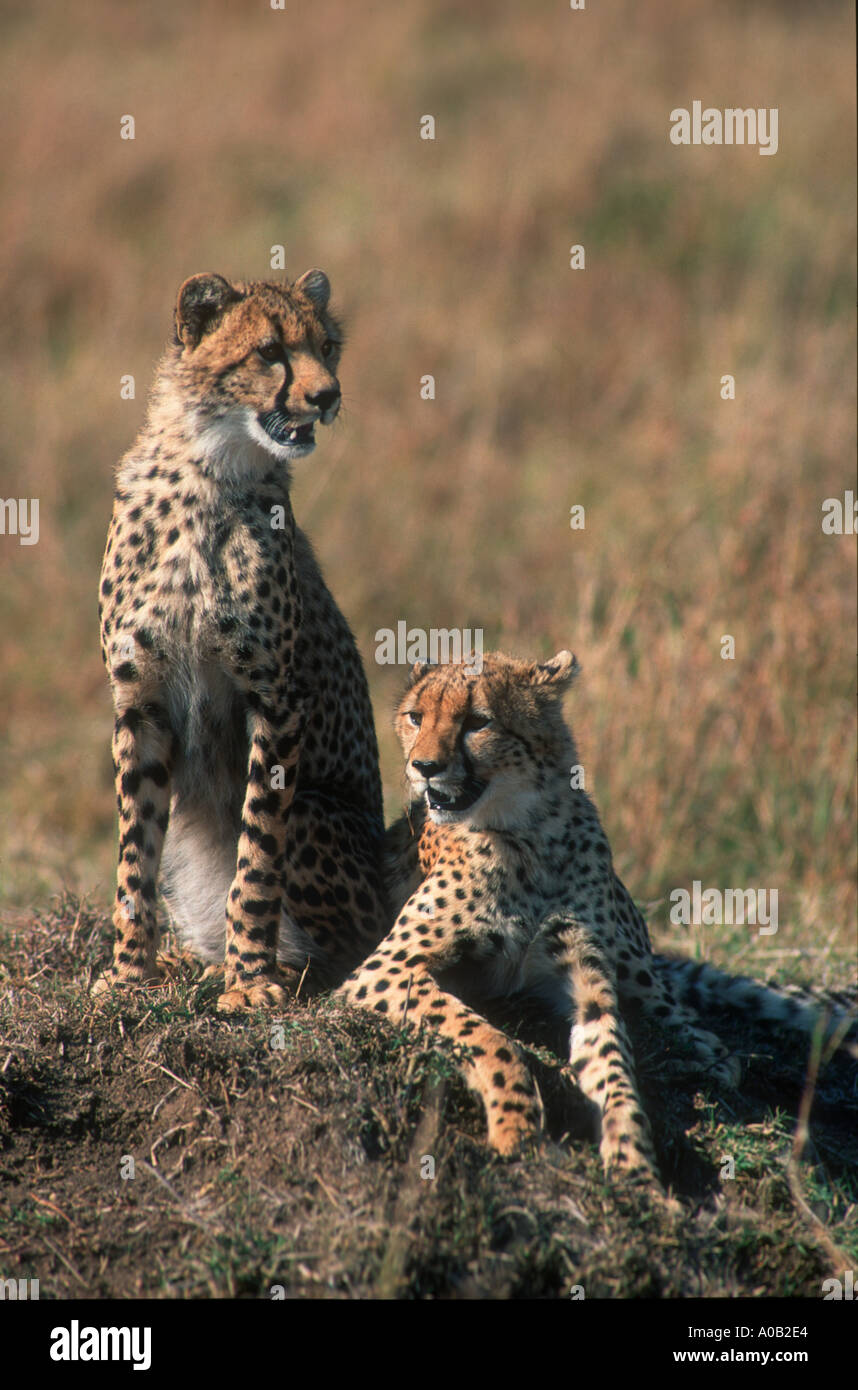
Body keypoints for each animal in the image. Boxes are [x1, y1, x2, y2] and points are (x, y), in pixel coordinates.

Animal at [96, 269, 387, 1013]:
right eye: (269, 351)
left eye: (327, 347)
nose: (328, 395)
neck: (207, 471)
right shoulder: (140, 699)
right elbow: (135, 852)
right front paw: (129, 974)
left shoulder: (276, 697)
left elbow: (256, 854)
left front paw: (250, 979)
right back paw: (189, 963)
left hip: (319, 813)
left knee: (349, 948)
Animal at [337, 650, 856, 1186]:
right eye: (415, 717)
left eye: (478, 721)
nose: (423, 767)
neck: (525, 832)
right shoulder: (387, 969)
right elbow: (488, 1036)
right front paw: (515, 1121)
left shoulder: (589, 976)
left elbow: (614, 1067)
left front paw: (632, 1161)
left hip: (634, 963)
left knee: (675, 1009)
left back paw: (710, 1054)